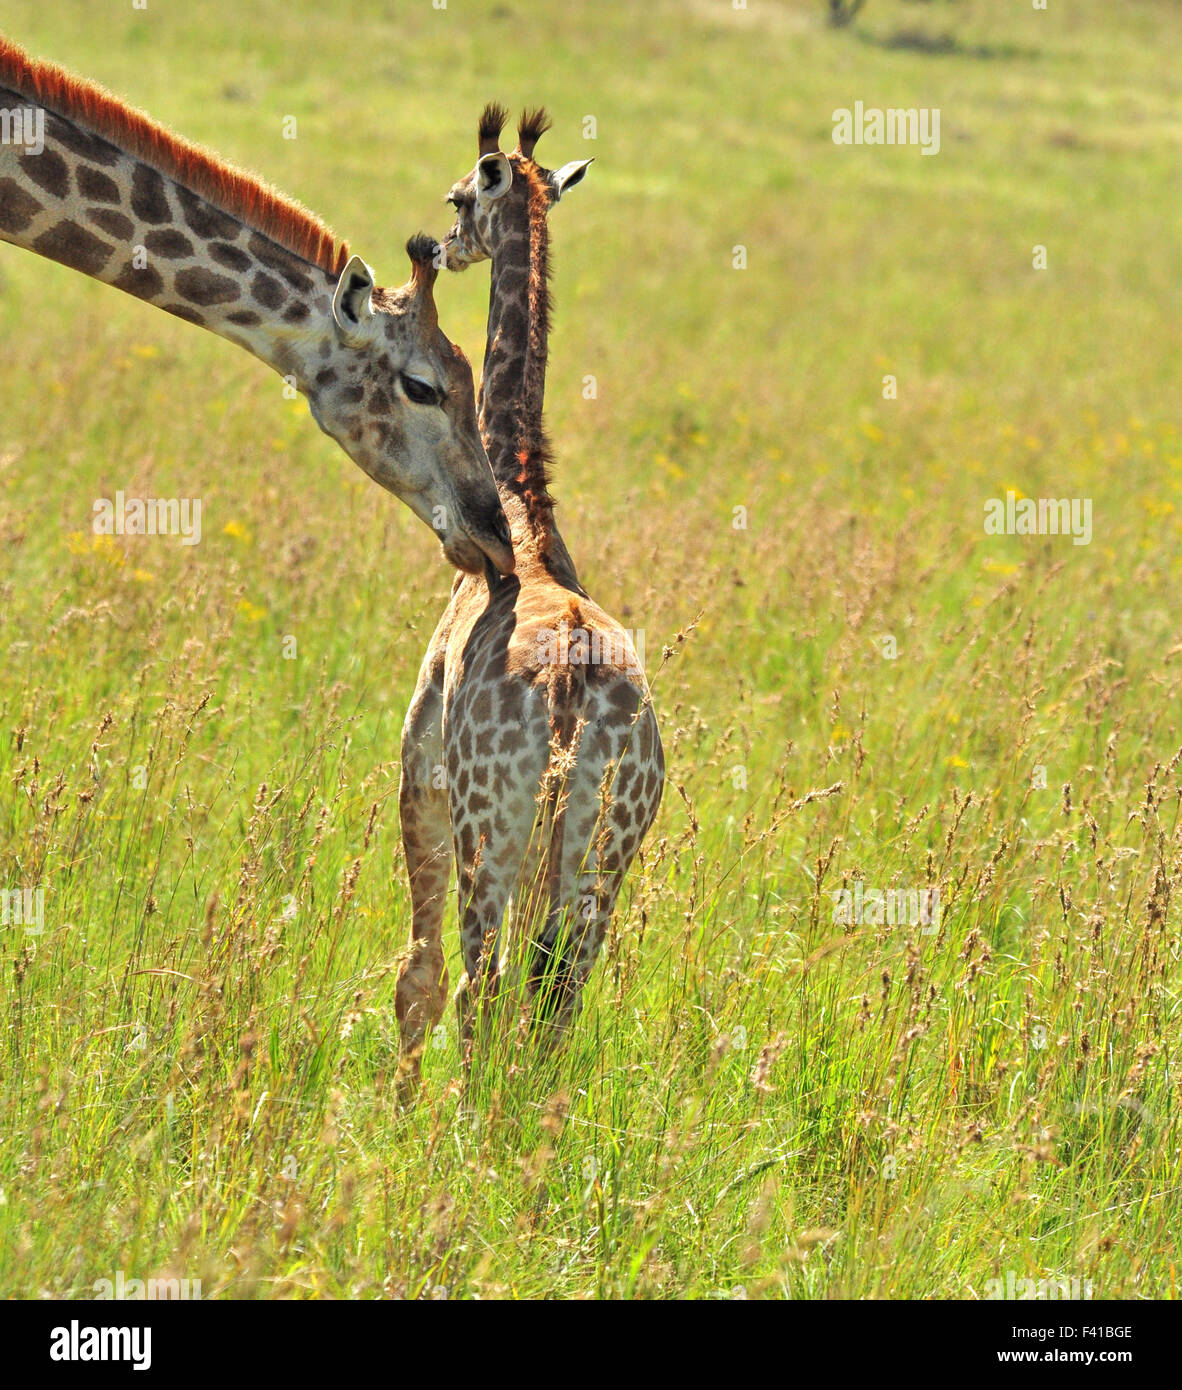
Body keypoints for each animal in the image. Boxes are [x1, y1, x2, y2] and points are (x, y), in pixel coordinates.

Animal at [394, 107, 664, 1096]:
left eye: (459, 197)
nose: (444, 243)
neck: (524, 513)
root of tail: (571, 696)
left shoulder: (420, 771)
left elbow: (419, 973)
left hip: (495, 826)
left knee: (483, 983)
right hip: (605, 849)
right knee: (557, 994)